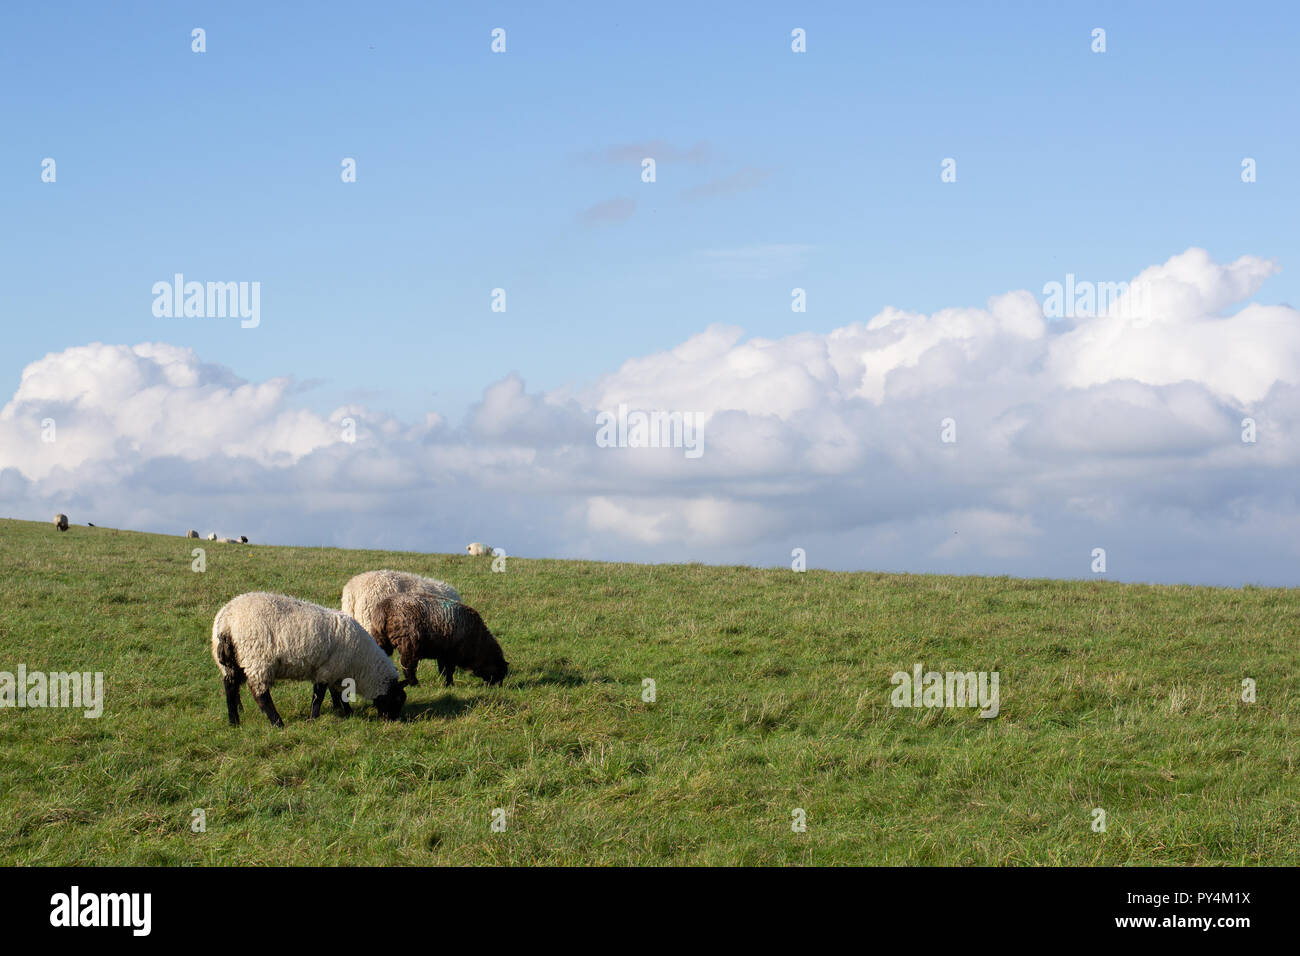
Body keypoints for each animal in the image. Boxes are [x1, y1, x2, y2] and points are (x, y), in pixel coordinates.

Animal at [211, 592, 406, 727]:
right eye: (396, 699)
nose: (394, 721)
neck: (361, 664)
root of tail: (226, 620)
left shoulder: (334, 672)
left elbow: (337, 693)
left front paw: (344, 711)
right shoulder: (327, 669)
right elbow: (319, 696)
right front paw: (314, 718)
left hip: (232, 663)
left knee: (230, 687)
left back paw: (234, 722)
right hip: (257, 659)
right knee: (261, 695)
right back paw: (277, 723)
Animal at [369, 593, 508, 688]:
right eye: (499, 670)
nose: (498, 687)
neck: (478, 642)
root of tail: (385, 607)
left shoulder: (443, 653)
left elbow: (442, 669)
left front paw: (444, 682)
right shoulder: (452, 654)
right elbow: (449, 671)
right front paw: (449, 684)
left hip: (380, 639)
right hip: (409, 644)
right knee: (408, 665)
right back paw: (414, 683)